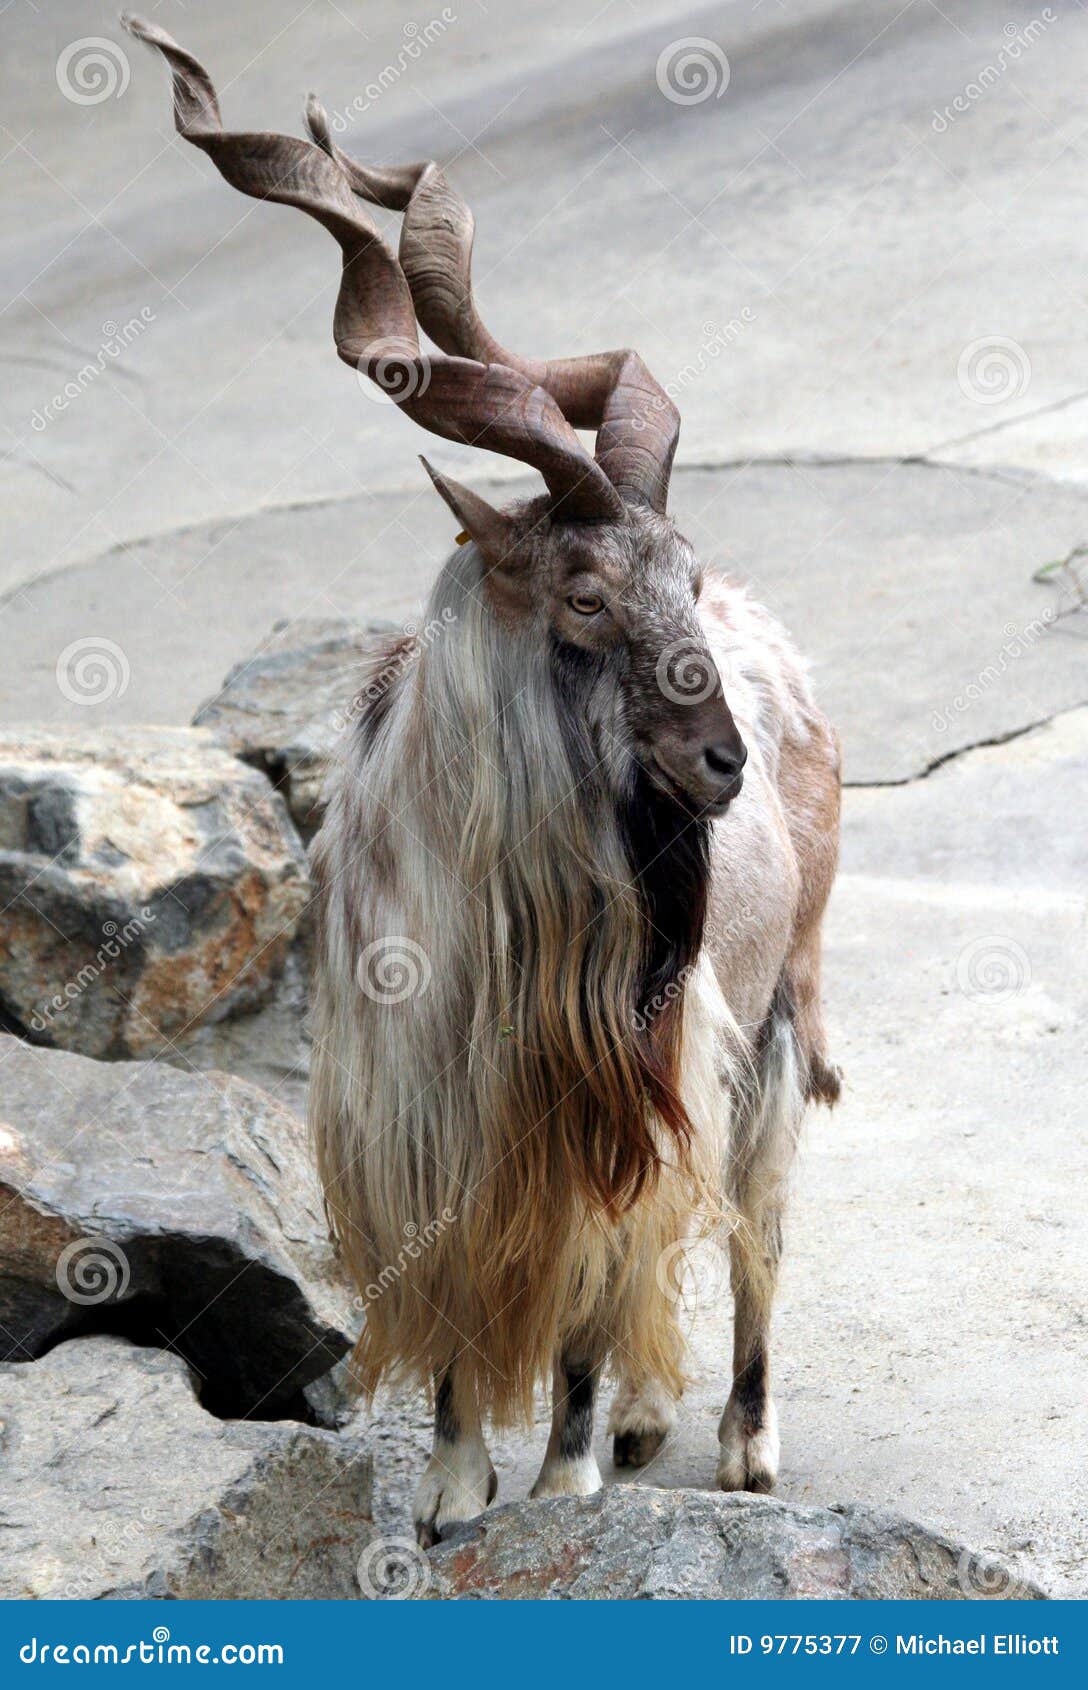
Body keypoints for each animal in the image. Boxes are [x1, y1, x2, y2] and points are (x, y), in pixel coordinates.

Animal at [128, 16, 842, 1546]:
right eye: (582, 594)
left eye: (680, 576)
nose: (722, 763)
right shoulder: (416, 1116)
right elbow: (459, 1307)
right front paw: (453, 1488)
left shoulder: (609, 1097)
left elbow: (584, 1286)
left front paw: (558, 1476)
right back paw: (645, 1420)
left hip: (775, 1011)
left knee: (754, 1226)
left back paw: (740, 1441)